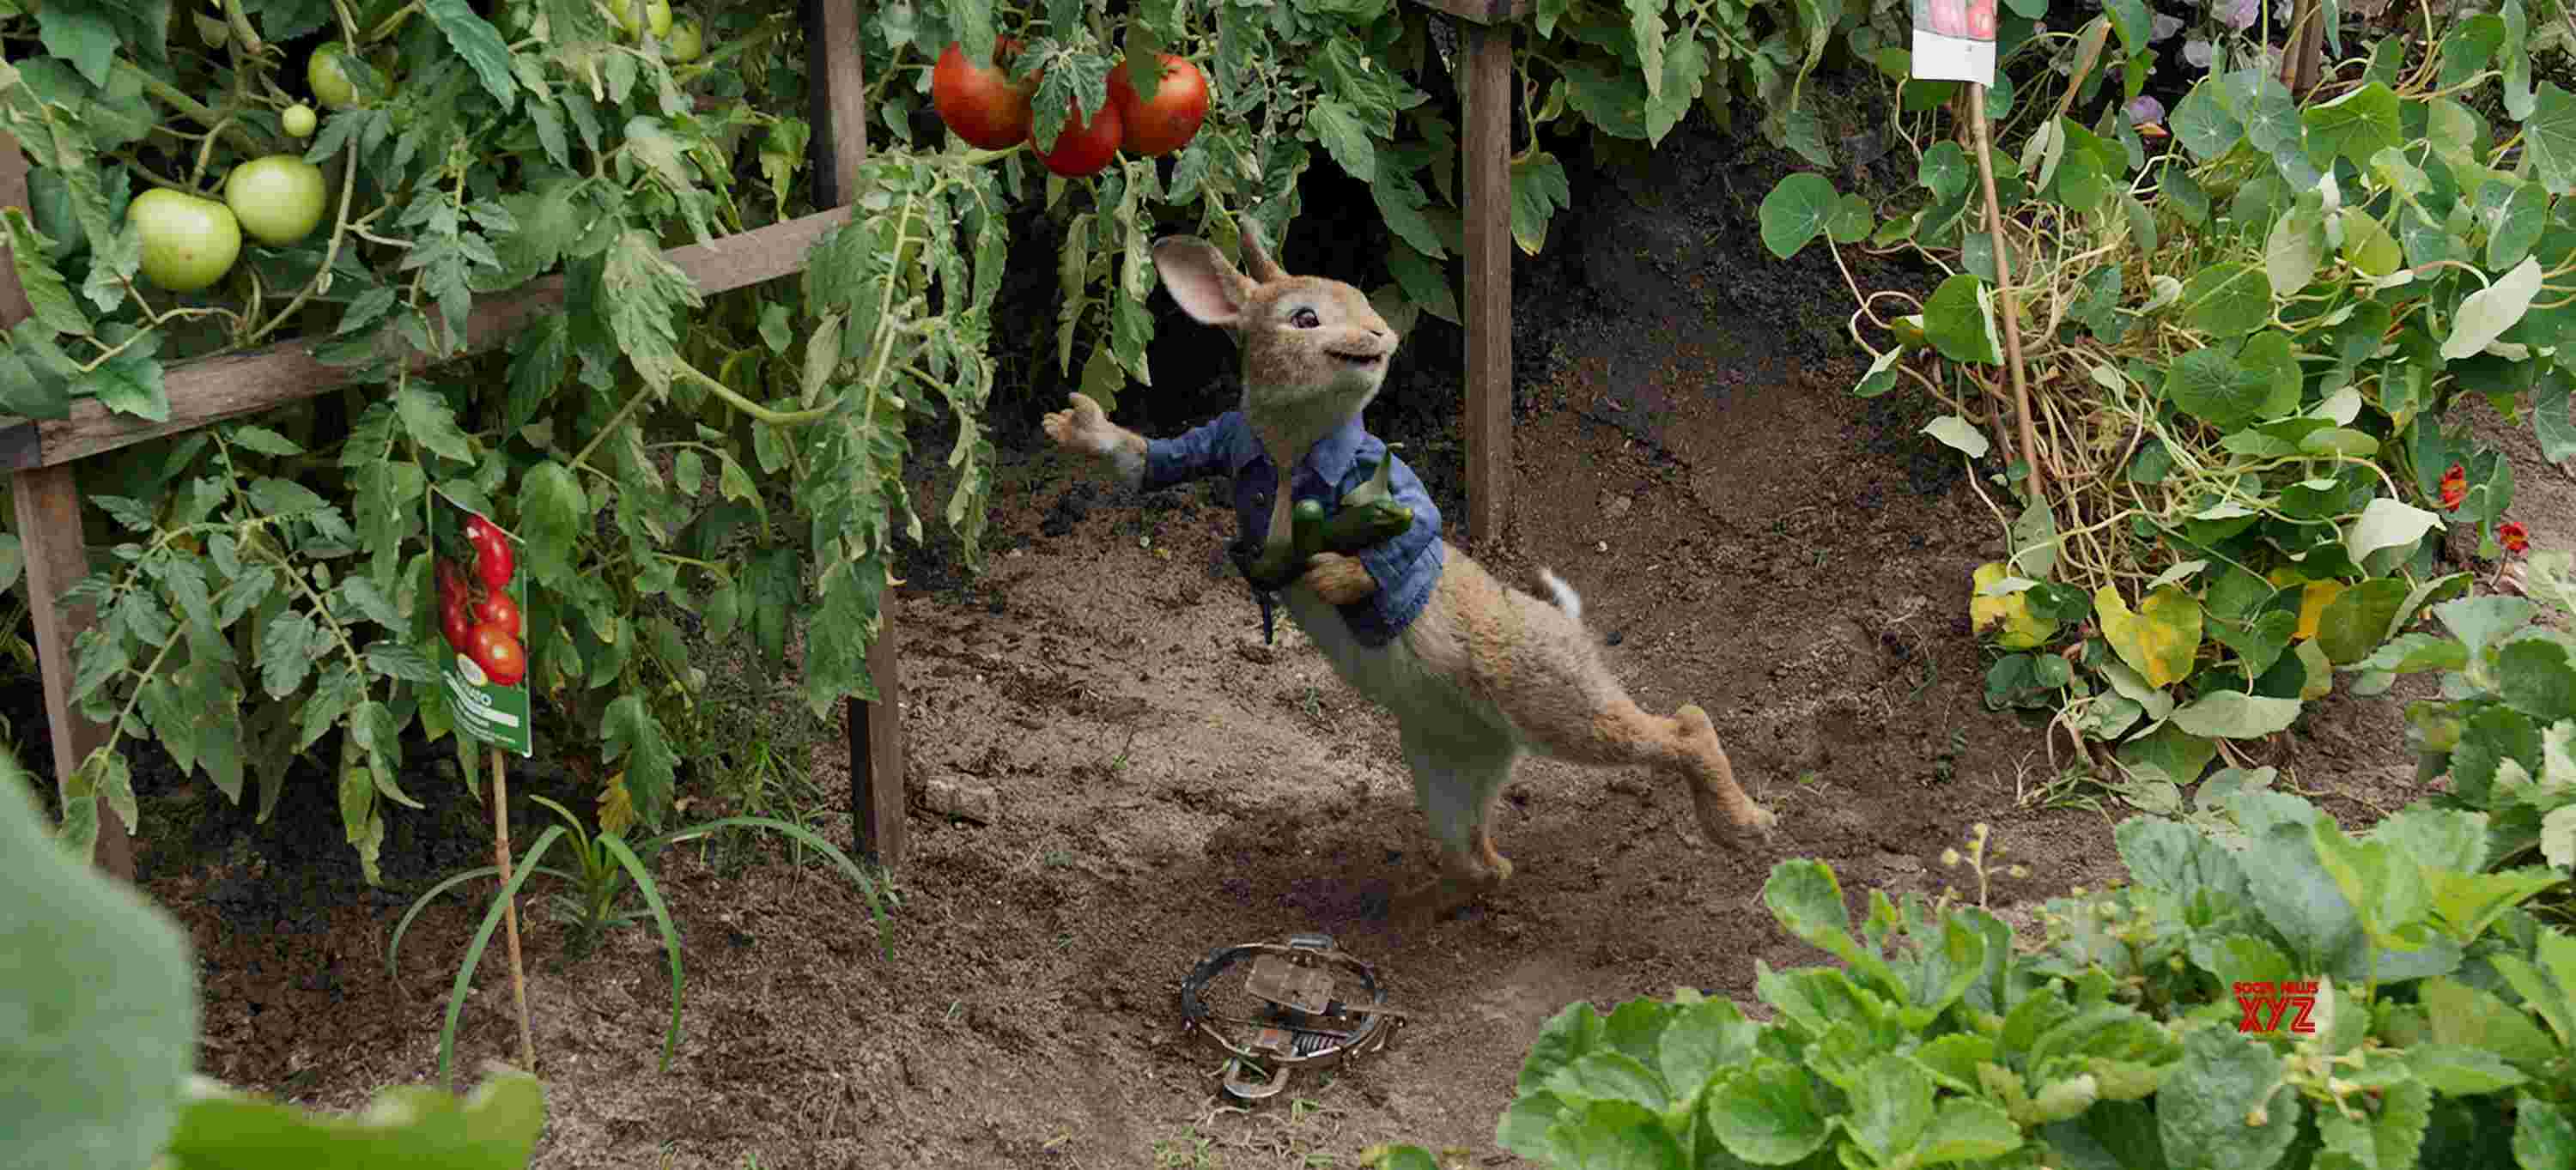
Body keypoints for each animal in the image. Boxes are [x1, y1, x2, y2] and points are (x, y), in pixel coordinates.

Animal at [1041, 223, 1779, 925]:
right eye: (1304, 317)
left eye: (1364, 302)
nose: (1381, 336)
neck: (1292, 455)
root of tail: (1564, 627)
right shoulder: (1224, 443)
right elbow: (1155, 458)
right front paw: (1074, 425)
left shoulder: (1388, 487)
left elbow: (1411, 527)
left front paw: (1332, 578)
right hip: (1447, 770)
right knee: (1478, 855)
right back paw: (1426, 904)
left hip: (1554, 701)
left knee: (1682, 727)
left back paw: (1744, 826)